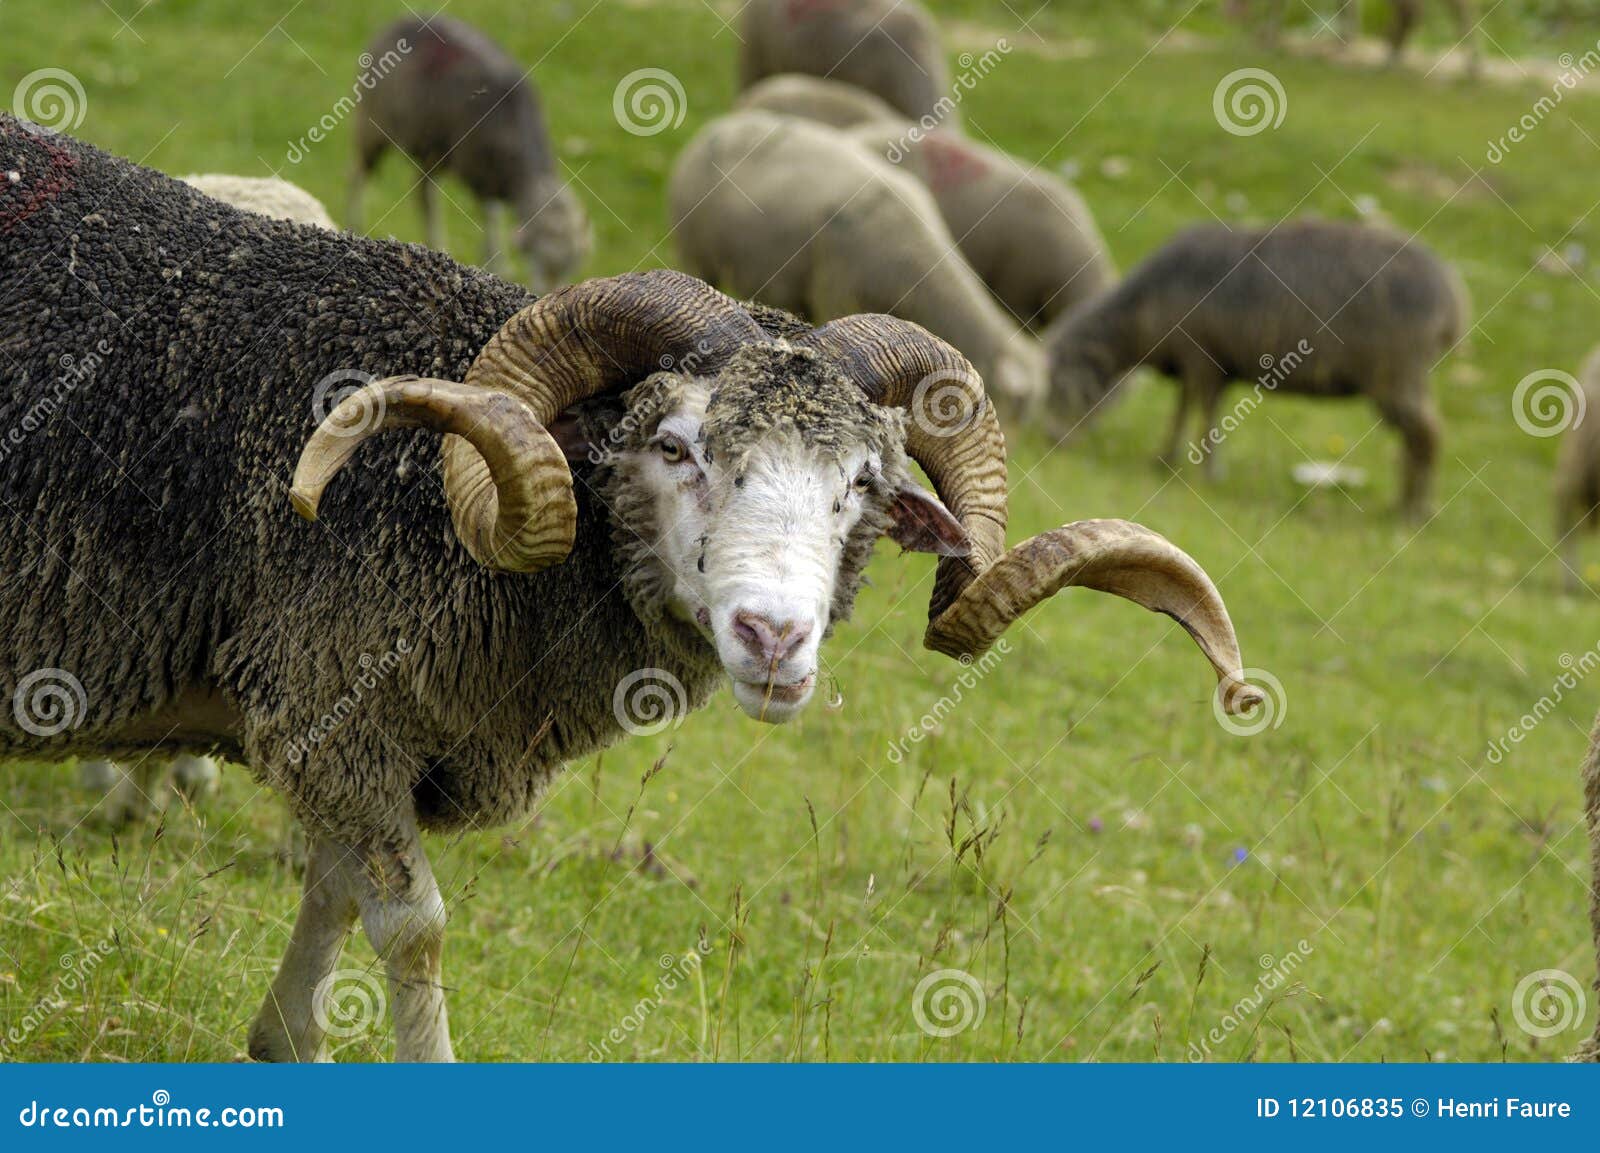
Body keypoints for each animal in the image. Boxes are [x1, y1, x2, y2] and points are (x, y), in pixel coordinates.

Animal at [347, 14, 591, 292]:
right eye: (537, 259)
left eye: (572, 265)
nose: (552, 292)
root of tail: (399, 20)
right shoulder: (479, 171)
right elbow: (492, 225)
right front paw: (495, 264)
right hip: (371, 123)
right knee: (356, 175)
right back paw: (354, 223)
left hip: (432, 147)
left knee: (424, 194)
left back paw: (435, 243)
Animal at [1044, 219, 1466, 521]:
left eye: (1064, 387)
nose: (1054, 442)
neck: (1140, 314)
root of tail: (1452, 296)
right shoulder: (1203, 365)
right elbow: (1184, 409)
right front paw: (1166, 458)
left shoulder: (1203, 360)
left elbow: (1203, 414)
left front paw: (1205, 472)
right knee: (1416, 438)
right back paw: (1404, 504)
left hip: (1396, 373)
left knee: (1428, 434)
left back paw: (1412, 512)